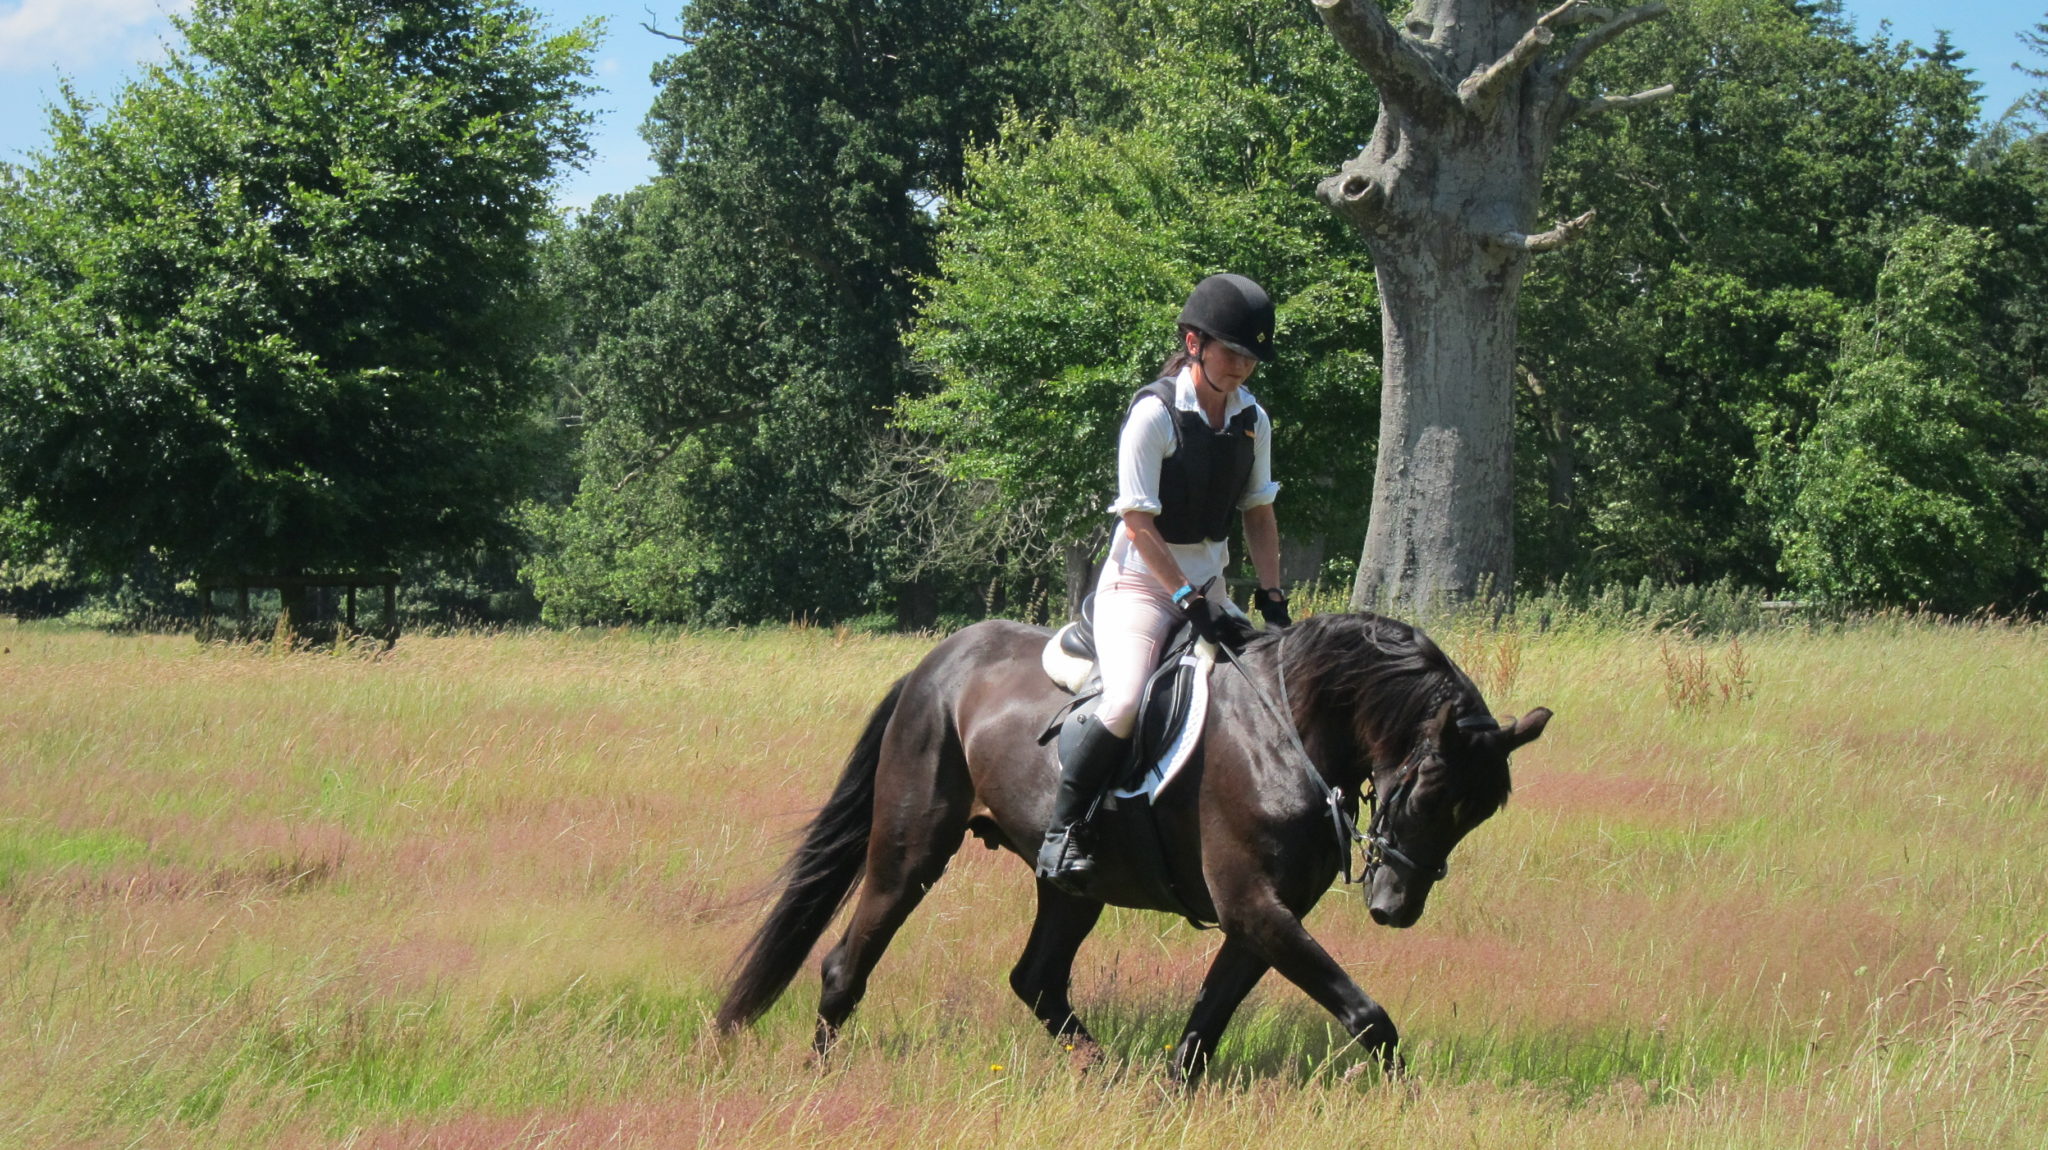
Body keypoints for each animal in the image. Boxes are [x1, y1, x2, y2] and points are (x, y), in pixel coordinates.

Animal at [713, 611, 1551, 1083]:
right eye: (1429, 792)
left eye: (1477, 815)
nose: (1395, 908)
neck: (1288, 725)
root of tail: (936, 664)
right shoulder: (1256, 909)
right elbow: (1369, 1017)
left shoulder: (1261, 919)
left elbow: (1204, 1030)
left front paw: (1164, 1100)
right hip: (910, 852)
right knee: (845, 964)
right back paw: (816, 1073)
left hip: (1073, 886)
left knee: (1038, 979)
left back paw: (1104, 1072)